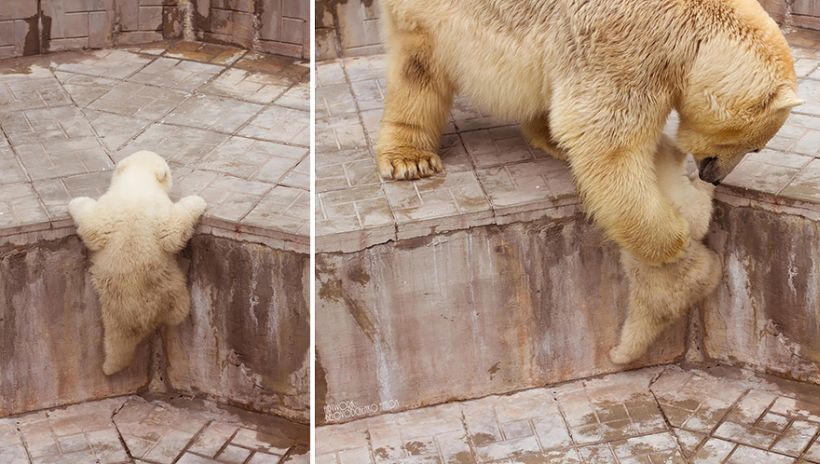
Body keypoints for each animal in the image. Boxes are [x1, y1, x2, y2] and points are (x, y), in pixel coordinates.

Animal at [68, 151, 207, 375]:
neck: (137, 184)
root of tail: (142, 318)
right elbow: (172, 231)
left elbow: (94, 227)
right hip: (165, 289)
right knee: (177, 312)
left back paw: (110, 366)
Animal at [375, 0, 800, 265]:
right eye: (755, 146)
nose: (715, 177)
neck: (695, 27)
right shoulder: (631, 42)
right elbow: (608, 140)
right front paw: (672, 240)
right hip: (433, 16)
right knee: (418, 69)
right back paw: (409, 158)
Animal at [609, 135, 722, 365]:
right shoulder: (680, 198)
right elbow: (698, 217)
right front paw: (702, 181)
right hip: (695, 273)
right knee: (710, 269)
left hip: (638, 295)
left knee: (635, 327)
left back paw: (618, 353)